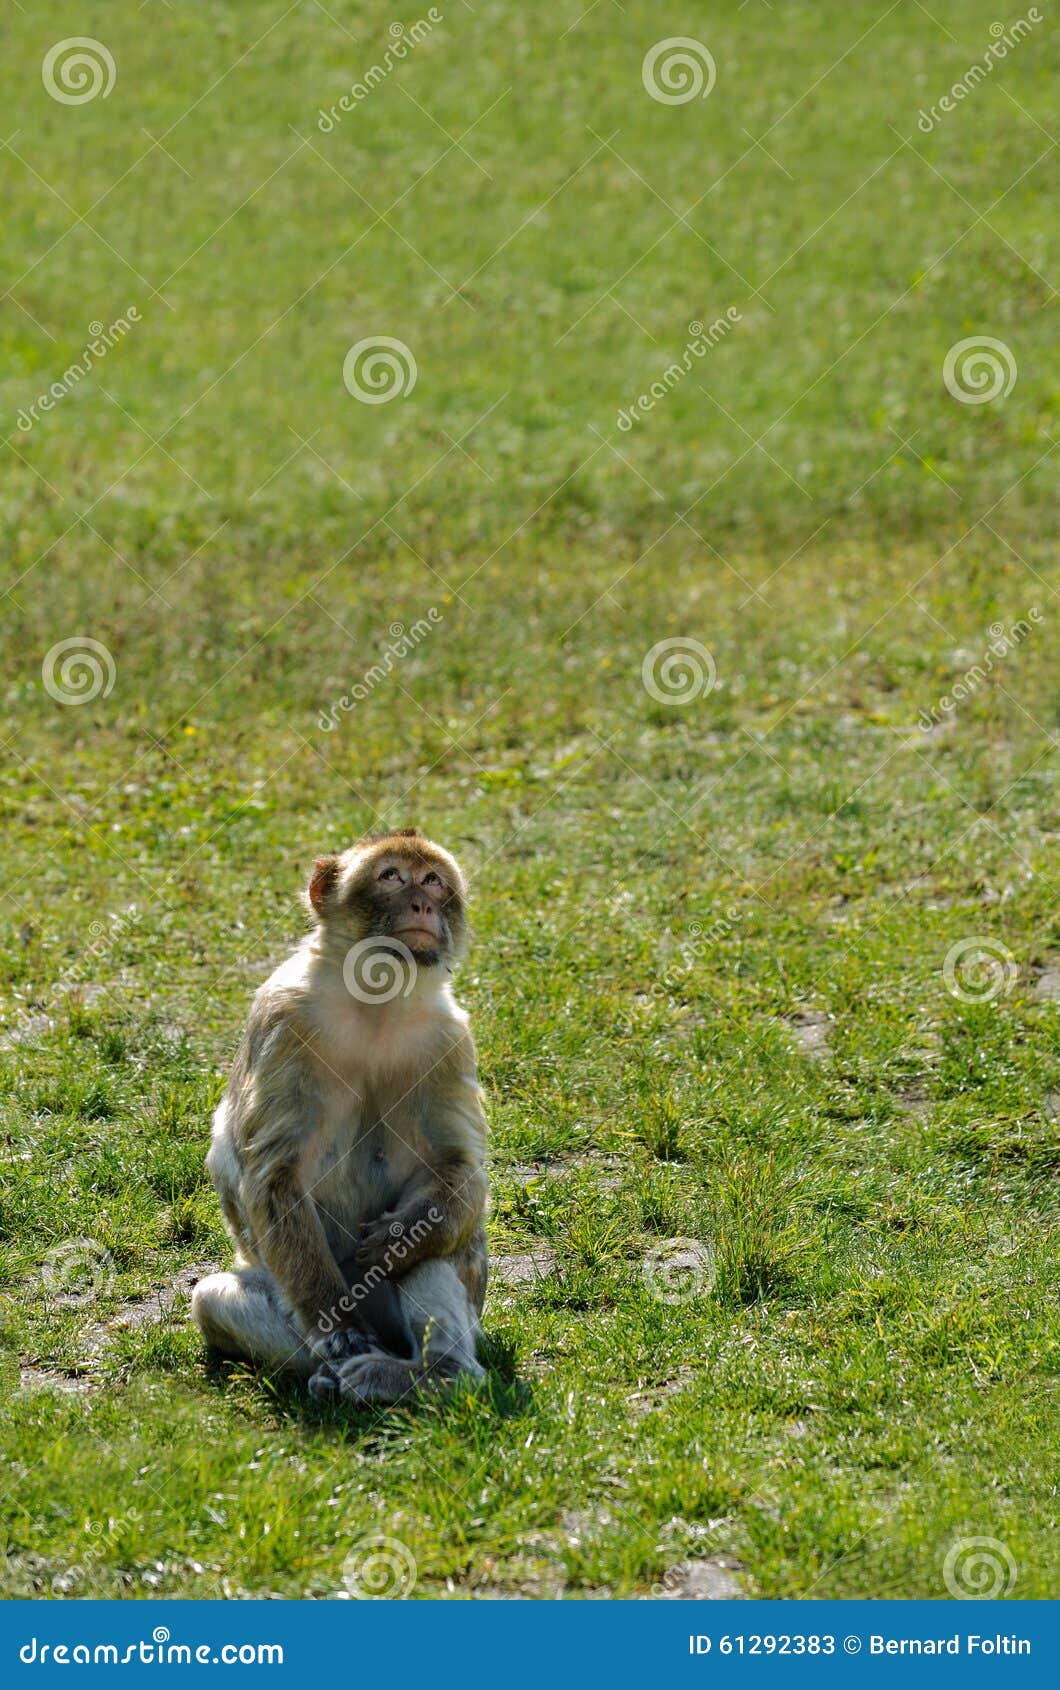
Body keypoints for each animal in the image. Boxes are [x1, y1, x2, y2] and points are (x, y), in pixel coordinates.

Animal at [191, 828, 488, 1406]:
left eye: (433, 881)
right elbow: (274, 1173)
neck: (378, 1002)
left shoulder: (450, 1041)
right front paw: (339, 1331)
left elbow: (460, 1168)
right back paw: (334, 1370)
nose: (422, 904)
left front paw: (397, 1242)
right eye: (392, 876)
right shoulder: (284, 1021)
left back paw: (434, 1375)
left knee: (436, 1251)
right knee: (211, 1299)